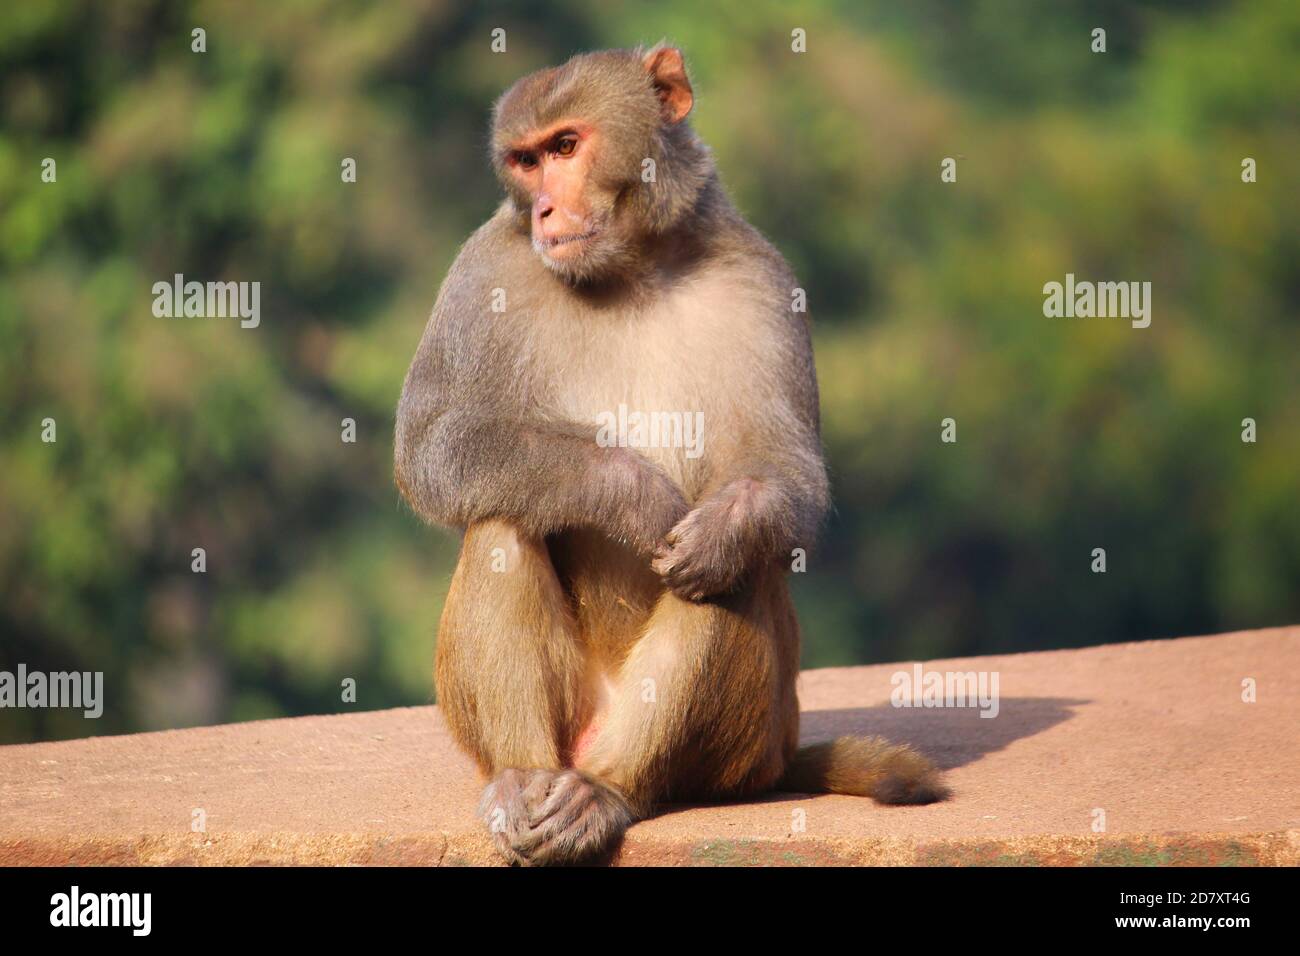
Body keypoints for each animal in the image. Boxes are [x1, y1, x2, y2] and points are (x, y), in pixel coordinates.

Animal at [394, 45, 947, 866]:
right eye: (526, 162)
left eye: (566, 146)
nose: (545, 210)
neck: (633, 268)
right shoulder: (485, 266)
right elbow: (433, 444)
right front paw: (631, 494)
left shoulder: (764, 280)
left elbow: (787, 474)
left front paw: (722, 527)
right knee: (502, 520)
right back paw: (523, 779)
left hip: (745, 749)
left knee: (727, 577)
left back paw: (608, 788)